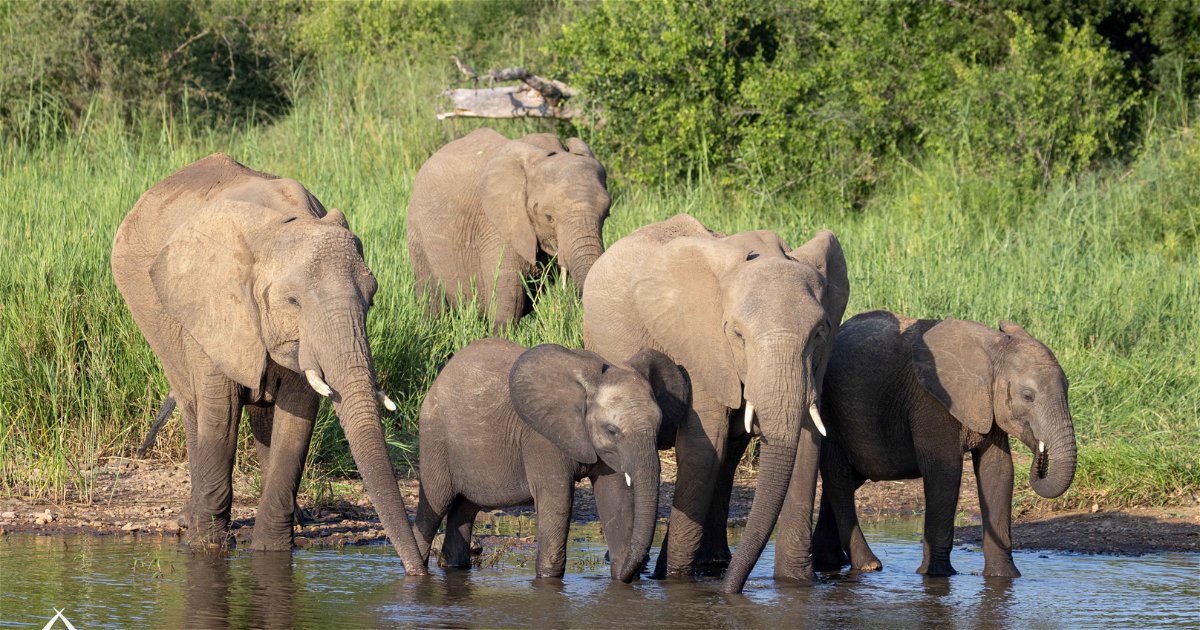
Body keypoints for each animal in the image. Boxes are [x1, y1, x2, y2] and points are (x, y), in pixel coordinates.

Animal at [111, 153, 425, 574]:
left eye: (371, 298)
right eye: (293, 301)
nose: (420, 569)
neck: (282, 225)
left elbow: (296, 418)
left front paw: (271, 553)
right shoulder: (214, 307)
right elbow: (221, 413)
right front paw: (206, 548)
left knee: (263, 416)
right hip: (156, 317)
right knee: (194, 406)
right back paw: (189, 521)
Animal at [406, 128, 610, 331]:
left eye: (606, 214)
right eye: (548, 217)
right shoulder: (497, 225)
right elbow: (509, 303)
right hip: (417, 232)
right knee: (431, 298)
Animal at [412, 339, 689, 582]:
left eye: (659, 426)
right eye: (611, 430)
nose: (631, 576)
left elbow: (616, 499)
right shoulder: (541, 439)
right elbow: (558, 499)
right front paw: (548, 580)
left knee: (465, 507)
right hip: (435, 437)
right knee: (436, 502)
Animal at [582, 214, 850, 593]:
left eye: (818, 333)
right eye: (737, 335)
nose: (730, 591)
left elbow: (806, 445)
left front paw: (795, 584)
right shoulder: (700, 345)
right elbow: (702, 447)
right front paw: (674, 582)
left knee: (730, 454)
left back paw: (713, 565)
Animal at [812, 310, 1077, 577]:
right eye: (1027, 396)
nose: (1040, 455)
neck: (992, 349)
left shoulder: (986, 405)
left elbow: (999, 471)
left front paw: (1005, 577)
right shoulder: (932, 401)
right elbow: (945, 473)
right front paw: (937, 575)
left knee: (845, 482)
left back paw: (829, 563)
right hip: (831, 415)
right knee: (839, 480)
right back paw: (868, 565)